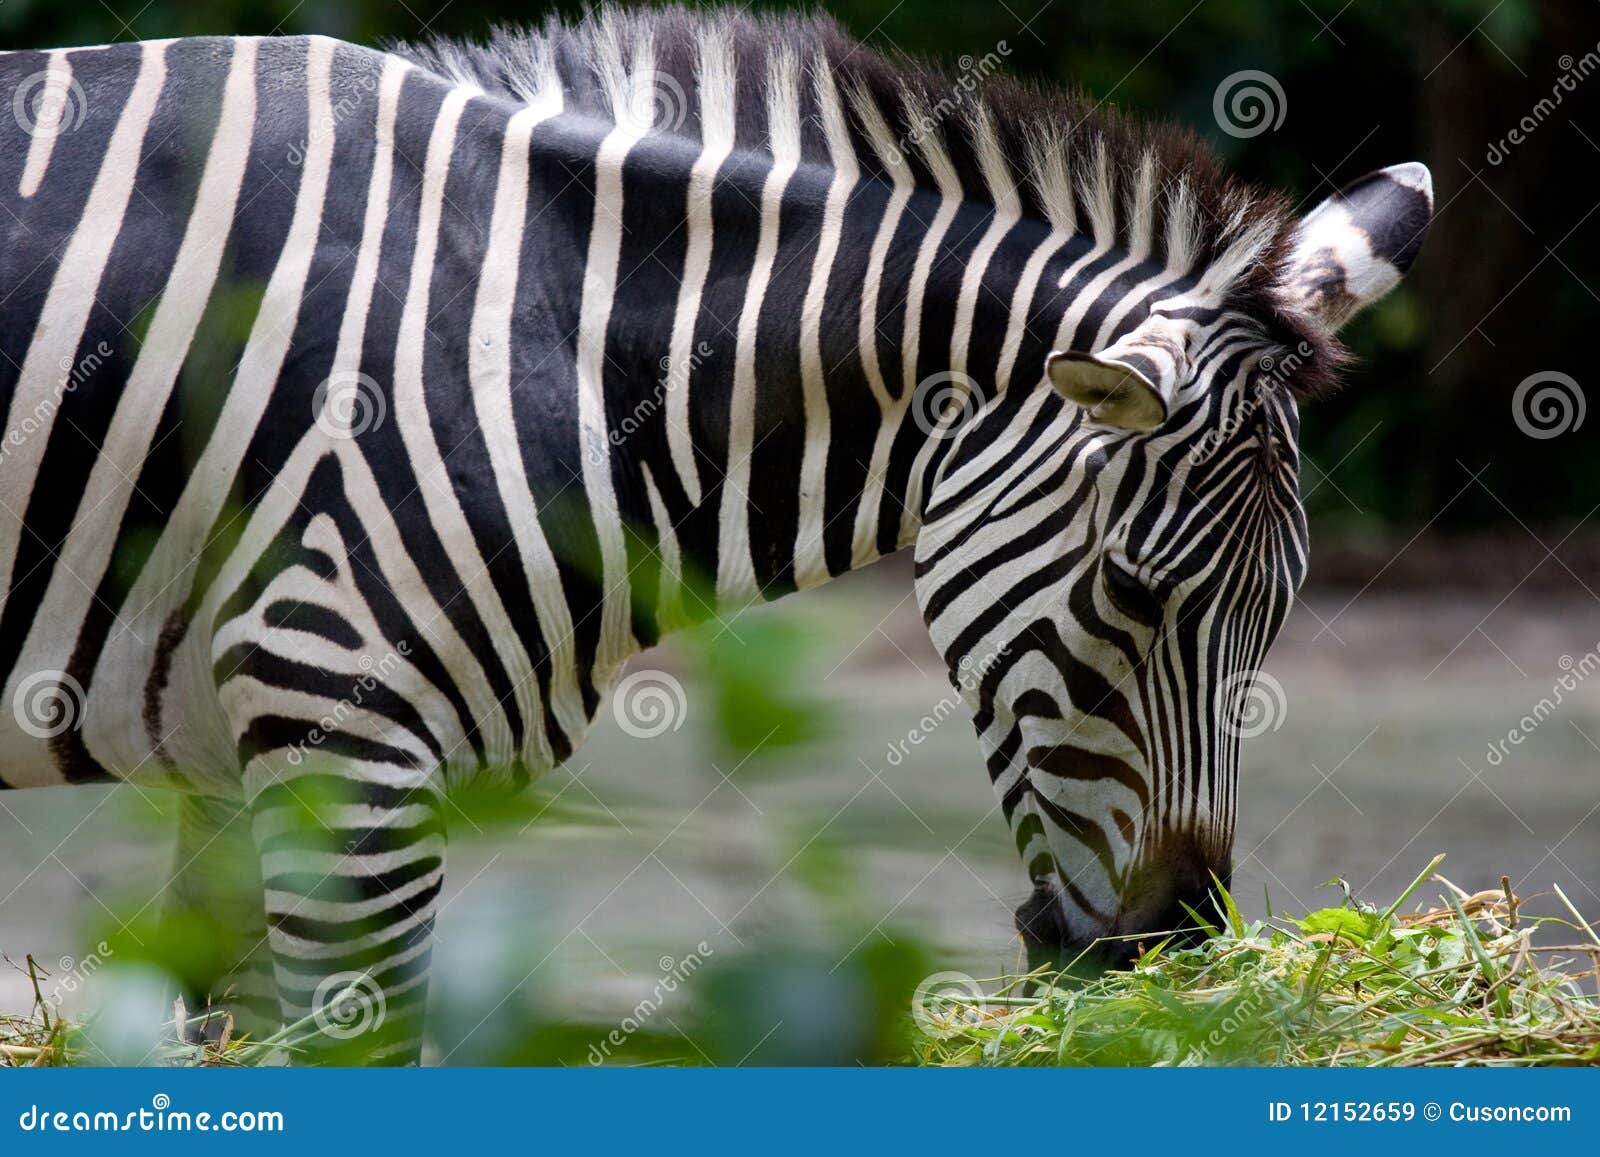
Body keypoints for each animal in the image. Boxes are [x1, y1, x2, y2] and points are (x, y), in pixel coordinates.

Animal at [0, 7, 1432, 1062]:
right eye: (1130, 594)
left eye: (1276, 614)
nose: (1170, 951)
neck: (556, 344)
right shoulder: (338, 726)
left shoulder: (234, 758)